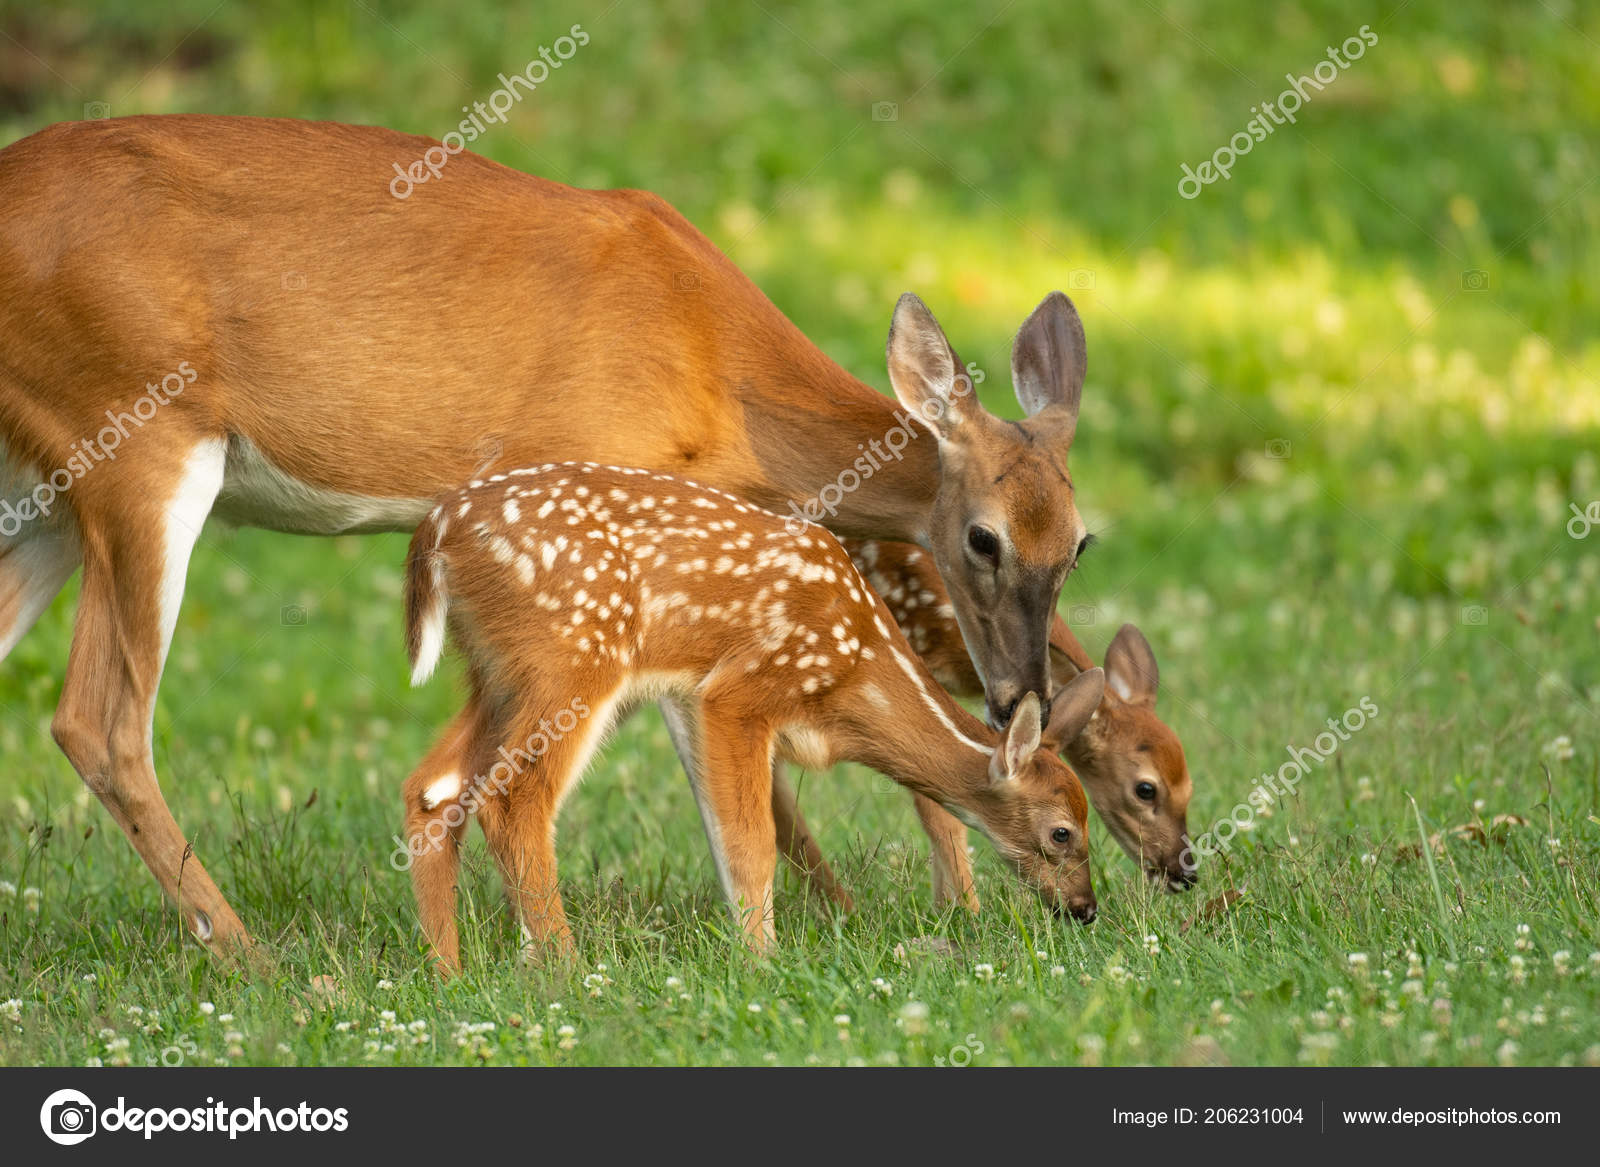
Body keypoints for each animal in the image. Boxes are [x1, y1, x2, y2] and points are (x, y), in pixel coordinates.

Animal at [398, 463, 1106, 970]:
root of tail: (436, 533)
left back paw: (450, 972)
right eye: (1061, 832)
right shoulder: (737, 691)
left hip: (494, 672)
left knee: (434, 788)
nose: (1085, 908)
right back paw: (563, 970)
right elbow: (751, 840)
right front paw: (761, 959)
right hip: (571, 658)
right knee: (514, 797)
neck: (857, 675)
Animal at [767, 538, 1194, 913]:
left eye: (1190, 788)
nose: (1186, 871)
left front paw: (948, 906)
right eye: (1145, 789)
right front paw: (963, 910)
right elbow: (939, 811)